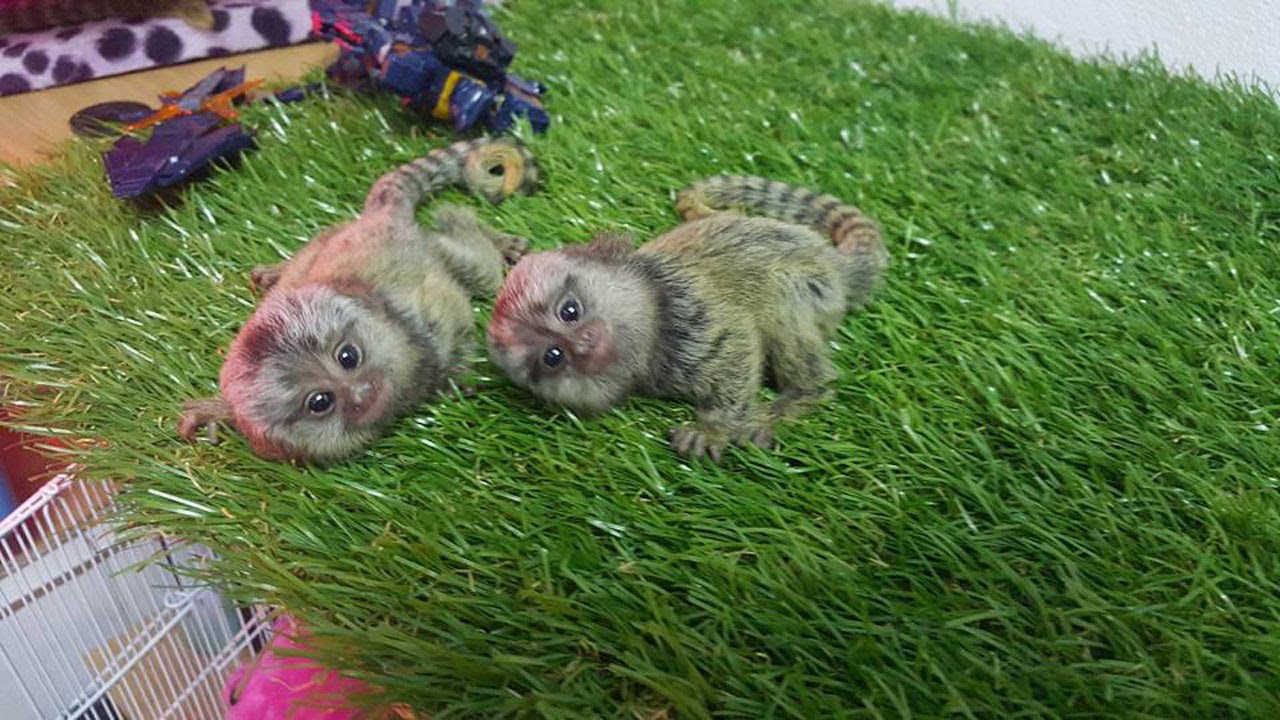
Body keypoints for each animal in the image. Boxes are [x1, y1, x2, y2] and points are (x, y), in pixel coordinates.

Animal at [179, 137, 539, 463]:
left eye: (348, 357)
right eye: (320, 402)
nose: (362, 393)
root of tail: (380, 215)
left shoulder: (424, 313)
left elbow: (456, 315)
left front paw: (459, 372)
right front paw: (219, 411)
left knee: (471, 258)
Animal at [486, 175, 887, 462]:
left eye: (569, 311)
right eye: (553, 357)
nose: (585, 343)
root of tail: (833, 261)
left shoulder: (692, 313)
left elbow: (736, 346)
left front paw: (712, 428)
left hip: (817, 285)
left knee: (783, 297)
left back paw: (797, 396)